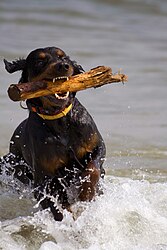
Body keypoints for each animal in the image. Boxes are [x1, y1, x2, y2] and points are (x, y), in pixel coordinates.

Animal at [0, 47, 105, 221]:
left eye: (64, 58)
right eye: (40, 61)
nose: (63, 66)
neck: (59, 119)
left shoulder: (97, 146)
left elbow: (92, 168)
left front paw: (87, 193)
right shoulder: (42, 180)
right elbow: (55, 206)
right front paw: (67, 219)